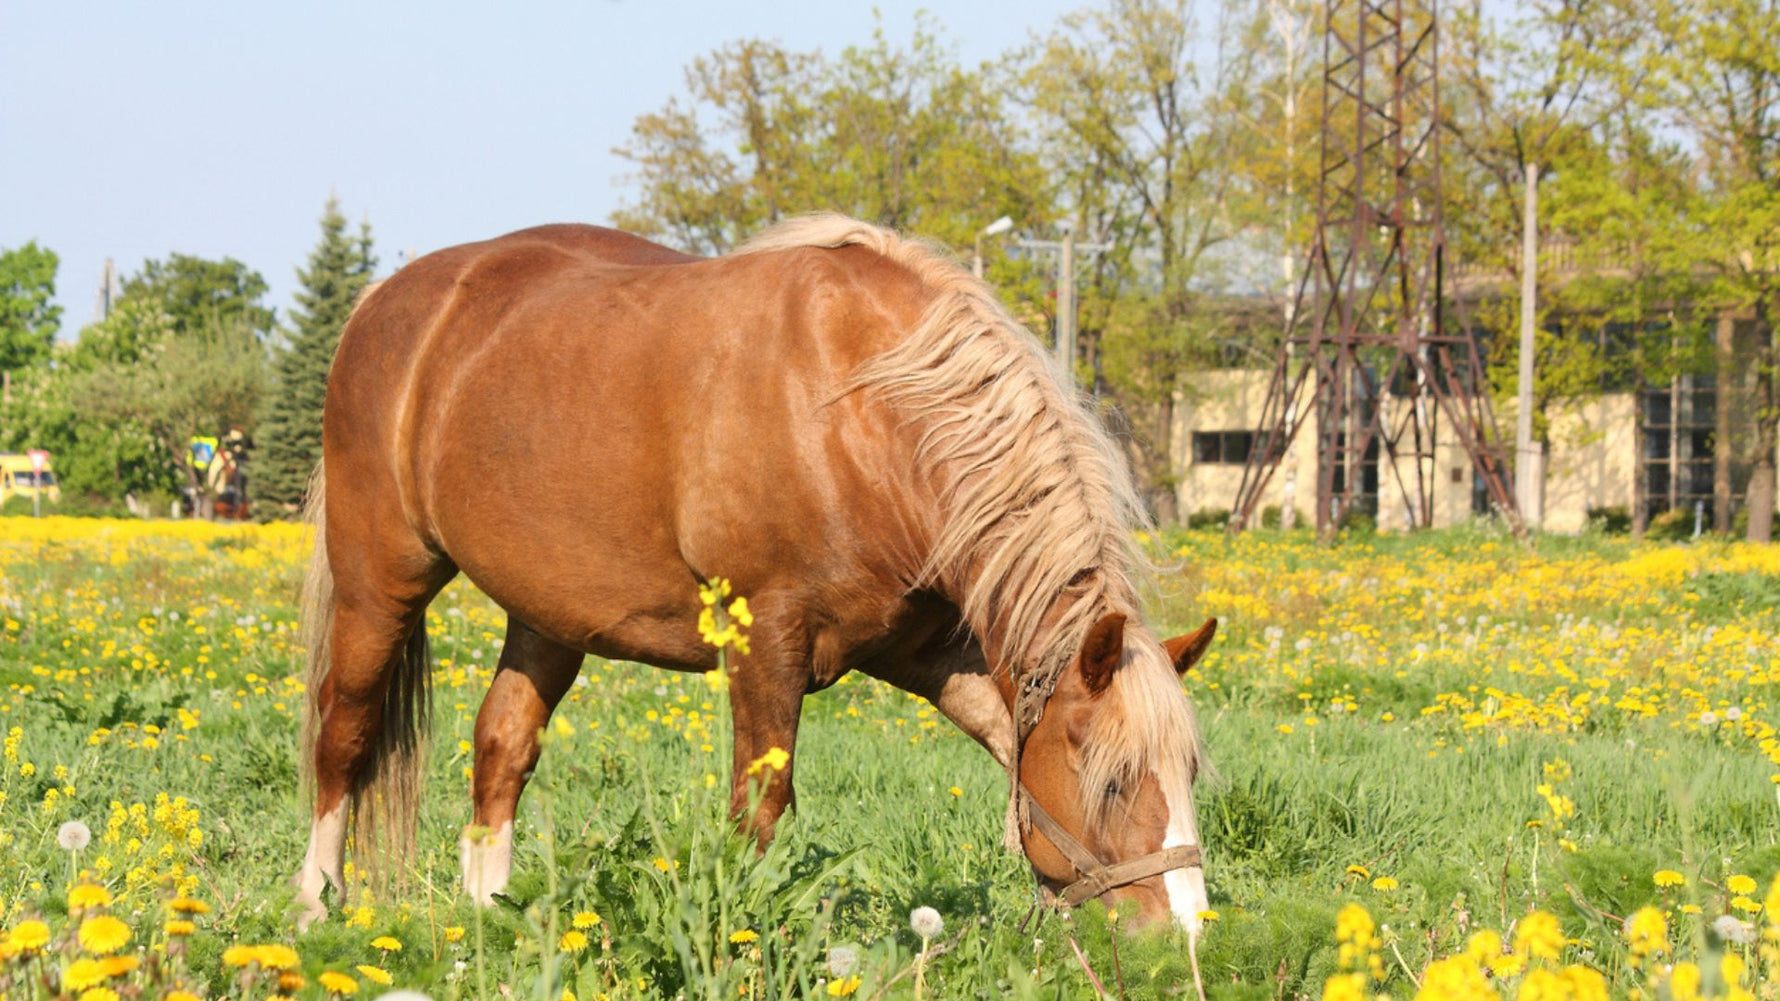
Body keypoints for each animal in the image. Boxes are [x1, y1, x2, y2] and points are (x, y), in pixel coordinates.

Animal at [291, 214, 1218, 933]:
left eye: (1188, 774)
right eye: (1112, 782)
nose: (1184, 934)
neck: (870, 412)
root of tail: (389, 300)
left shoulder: (937, 656)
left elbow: (1007, 750)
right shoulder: (764, 640)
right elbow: (759, 810)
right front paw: (743, 932)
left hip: (546, 615)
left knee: (501, 748)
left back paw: (490, 920)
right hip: (382, 578)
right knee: (344, 732)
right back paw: (315, 905)